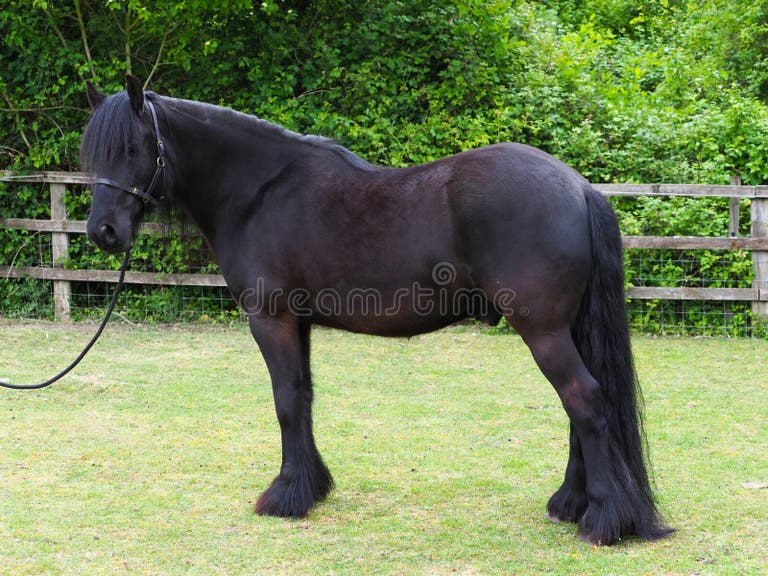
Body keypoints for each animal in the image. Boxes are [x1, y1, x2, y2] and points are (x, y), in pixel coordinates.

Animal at [80, 75, 672, 545]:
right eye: (95, 154)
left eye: (132, 148)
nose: (103, 232)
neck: (257, 192)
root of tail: (577, 186)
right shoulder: (298, 322)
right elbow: (304, 397)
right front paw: (311, 487)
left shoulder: (270, 319)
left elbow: (285, 402)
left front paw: (284, 496)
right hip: (564, 328)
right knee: (580, 405)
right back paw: (570, 504)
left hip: (543, 329)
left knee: (584, 400)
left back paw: (602, 521)